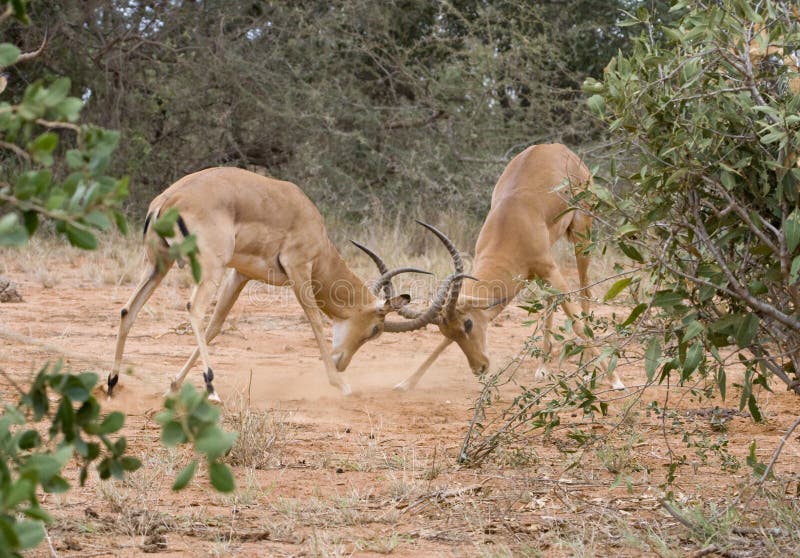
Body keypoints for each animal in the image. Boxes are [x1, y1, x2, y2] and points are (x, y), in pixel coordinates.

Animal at [107, 167, 461, 400]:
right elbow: (316, 322)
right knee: (192, 308)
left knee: (128, 309)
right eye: (375, 329)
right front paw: (340, 385)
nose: (342, 363)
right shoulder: (298, 269)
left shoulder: (241, 274)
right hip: (207, 268)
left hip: (159, 264)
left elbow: (216, 326)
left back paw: (112, 384)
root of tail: (168, 201)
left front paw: (174, 385)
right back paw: (211, 387)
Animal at [364, 144, 626, 391]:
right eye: (447, 332)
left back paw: (588, 369)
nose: (479, 367)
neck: (511, 223)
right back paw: (543, 367)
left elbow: (576, 319)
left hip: (582, 233)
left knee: (585, 290)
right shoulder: (534, 271)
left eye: (468, 324)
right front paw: (407, 382)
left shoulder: (547, 267)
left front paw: (614, 380)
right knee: (553, 298)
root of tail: (558, 148)